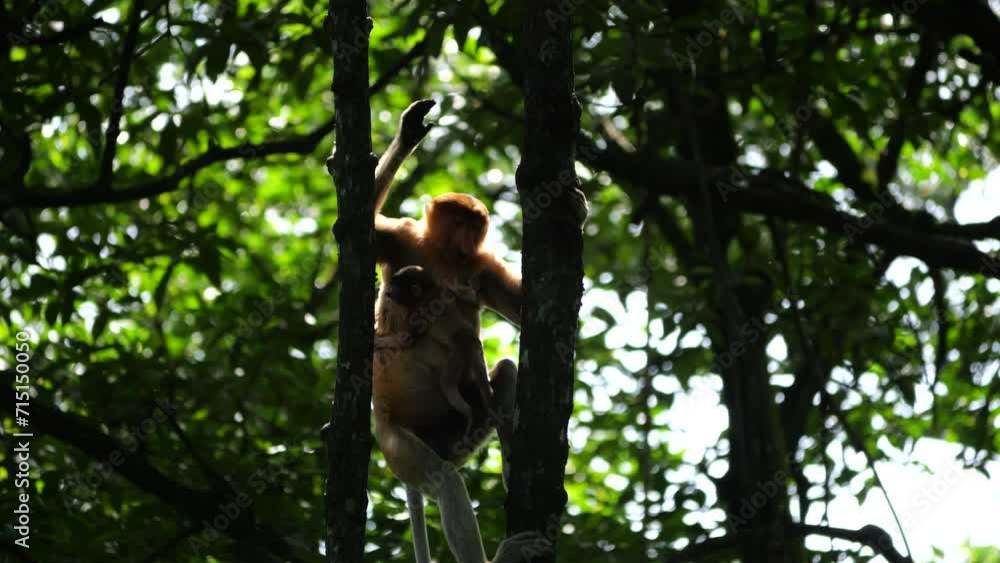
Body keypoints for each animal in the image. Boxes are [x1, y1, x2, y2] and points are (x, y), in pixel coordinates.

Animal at [377, 265, 492, 439]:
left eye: (396, 287)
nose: (389, 293)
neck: (426, 292)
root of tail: (468, 339)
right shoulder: (443, 289)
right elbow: (469, 298)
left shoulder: (416, 309)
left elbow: (406, 340)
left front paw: (376, 340)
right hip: (475, 350)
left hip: (458, 355)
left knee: (447, 385)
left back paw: (468, 412)